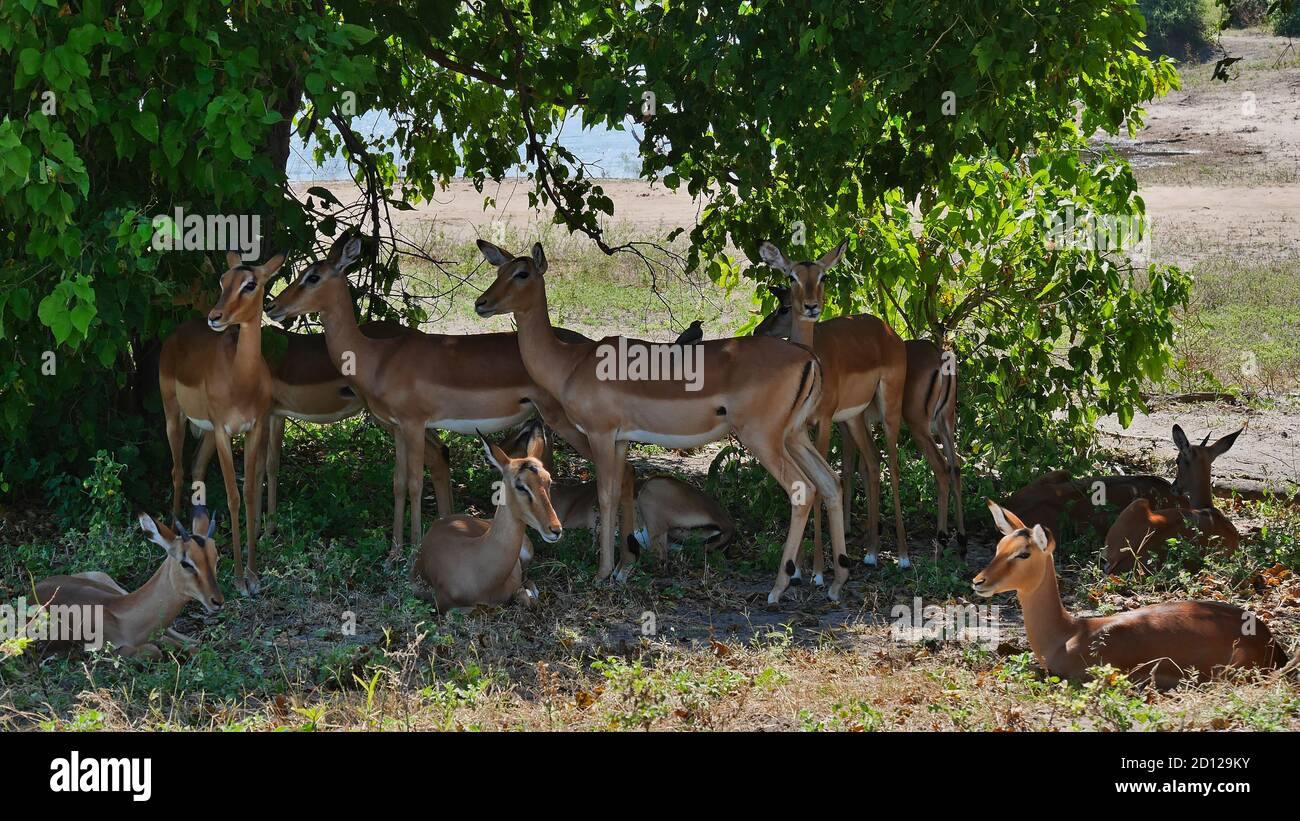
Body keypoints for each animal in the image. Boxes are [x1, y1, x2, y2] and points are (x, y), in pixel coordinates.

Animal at [160, 252, 284, 595]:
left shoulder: (254, 429)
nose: (215, 317)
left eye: (250, 284)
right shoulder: (223, 432)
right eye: (222, 280)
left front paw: (254, 576)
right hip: (174, 417)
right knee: (177, 470)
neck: (241, 379)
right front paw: (240, 580)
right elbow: (233, 497)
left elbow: (251, 494)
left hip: (204, 435)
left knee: (197, 468)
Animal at [265, 235, 634, 553]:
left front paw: (413, 548)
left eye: (313, 276)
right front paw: (394, 551)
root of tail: (586, 348)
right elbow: (398, 483)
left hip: (573, 424)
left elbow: (415, 483)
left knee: (622, 474)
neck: (378, 357)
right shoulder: (397, 428)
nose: (272, 306)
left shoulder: (414, 424)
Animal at [755, 241, 909, 579]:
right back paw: (871, 553)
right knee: (872, 462)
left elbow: (822, 486)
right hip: (855, 419)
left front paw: (816, 571)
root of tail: (887, 330)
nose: (812, 306)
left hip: (889, 411)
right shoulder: (798, 430)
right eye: (792, 277)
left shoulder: (823, 422)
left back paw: (903, 557)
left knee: (892, 465)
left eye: (823, 275)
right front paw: (797, 568)